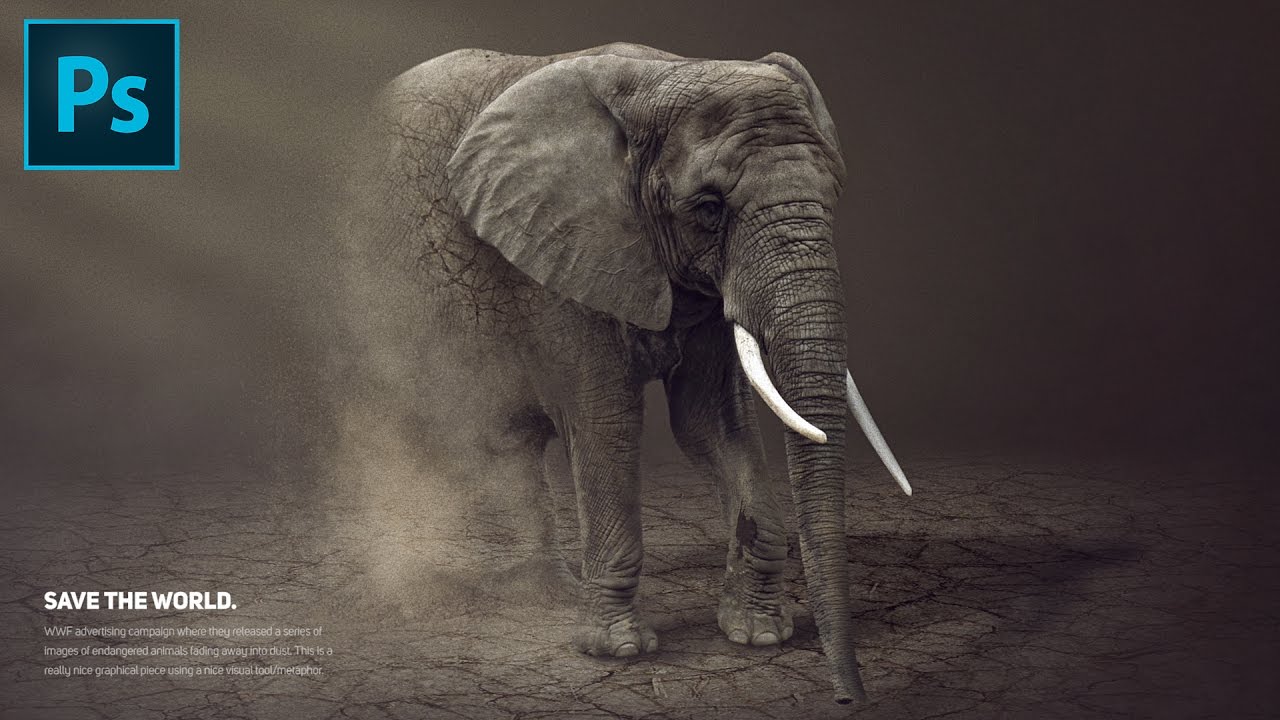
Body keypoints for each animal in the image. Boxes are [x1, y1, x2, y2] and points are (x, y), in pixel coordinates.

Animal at [335, 42, 912, 705]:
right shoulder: (557, 252)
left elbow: (709, 422)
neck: (663, 75)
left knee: (508, 443)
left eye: (834, 191)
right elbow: (606, 425)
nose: (848, 698)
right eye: (709, 208)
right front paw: (620, 651)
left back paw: (548, 592)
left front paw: (760, 634)